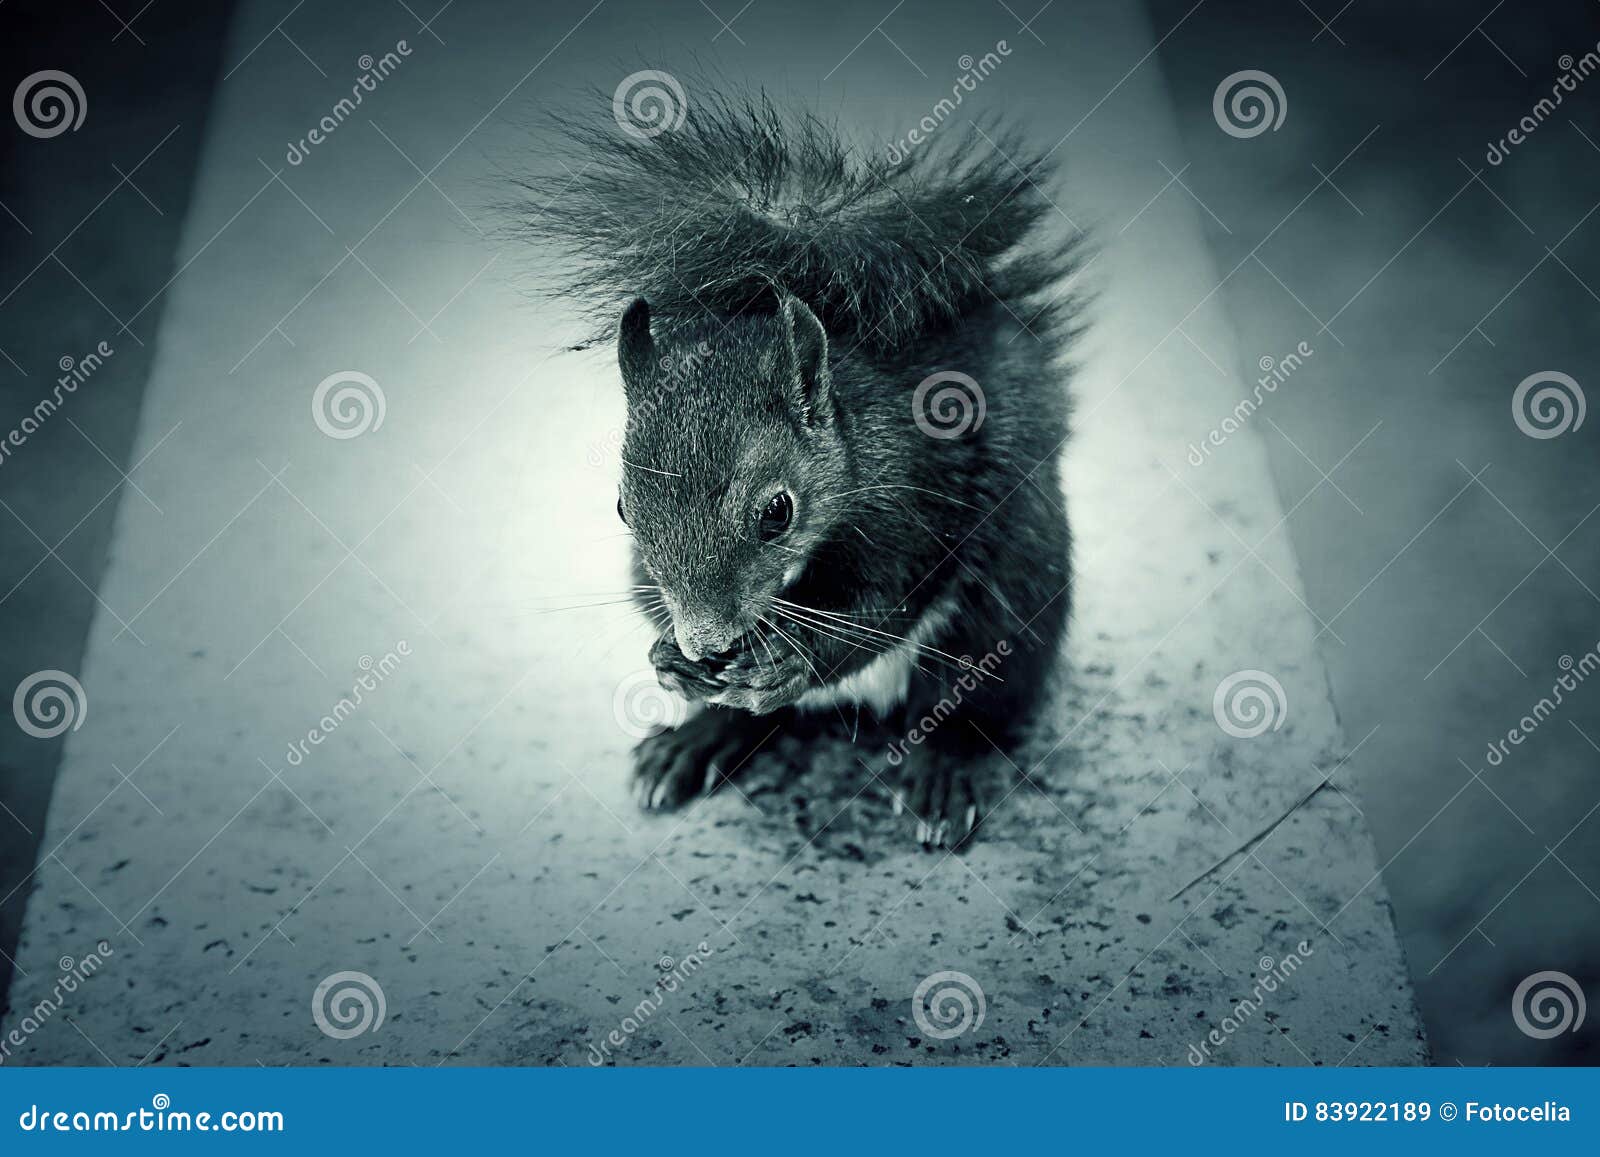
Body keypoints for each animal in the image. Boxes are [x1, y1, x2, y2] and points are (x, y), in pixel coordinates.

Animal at [517, 86, 1080, 848]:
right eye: (622, 508)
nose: (706, 644)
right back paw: (694, 738)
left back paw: (939, 771)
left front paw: (793, 659)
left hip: (1009, 603)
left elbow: (884, 608)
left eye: (778, 512)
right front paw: (669, 662)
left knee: (963, 706)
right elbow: (646, 595)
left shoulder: (915, 499)